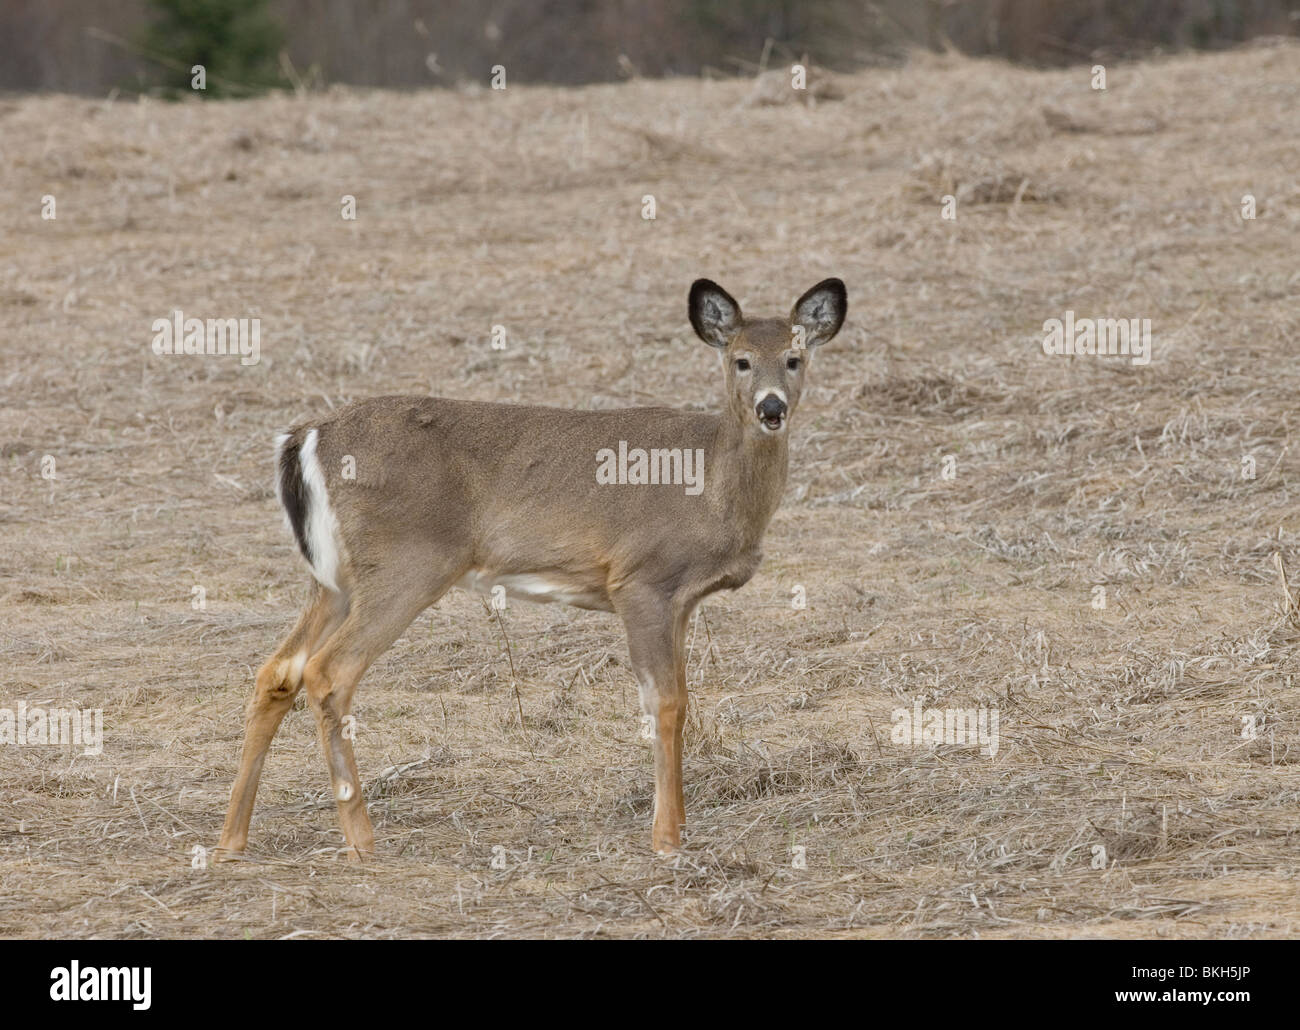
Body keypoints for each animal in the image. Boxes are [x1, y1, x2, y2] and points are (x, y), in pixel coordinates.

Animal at [214, 277, 847, 861]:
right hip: (407, 562)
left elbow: (685, 698)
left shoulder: (681, 601)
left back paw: (232, 840)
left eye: (795, 357)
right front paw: (666, 838)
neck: (712, 484)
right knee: (328, 671)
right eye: (740, 359)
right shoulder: (640, 580)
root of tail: (308, 435)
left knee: (277, 670)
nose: (771, 407)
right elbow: (665, 703)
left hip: (337, 577)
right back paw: (362, 841)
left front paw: (682, 824)